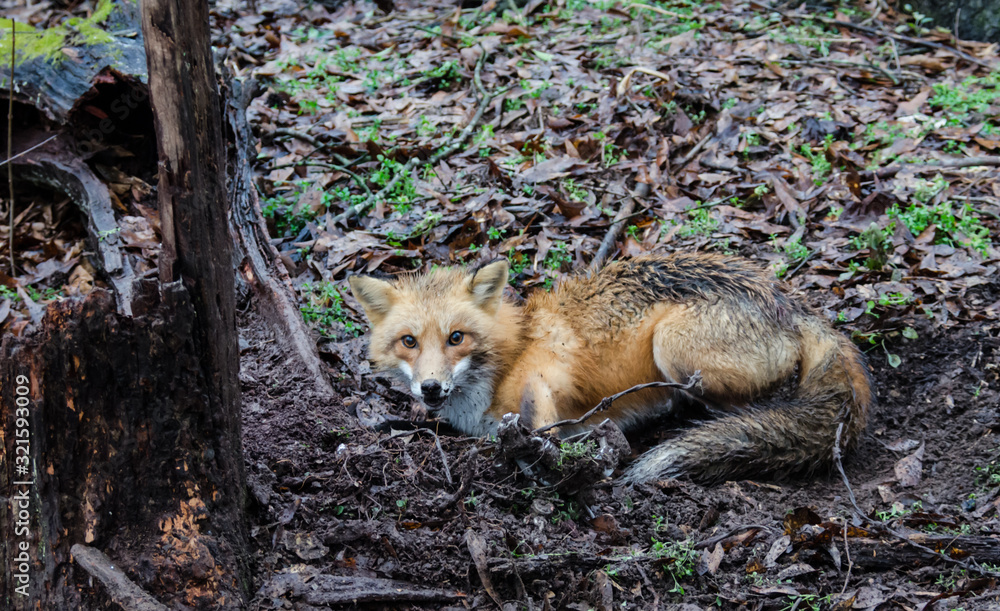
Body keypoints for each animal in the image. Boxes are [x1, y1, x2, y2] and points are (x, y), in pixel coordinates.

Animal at [348, 252, 873, 483]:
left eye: (457, 338)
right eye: (409, 342)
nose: (431, 389)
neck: (511, 350)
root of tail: (791, 300)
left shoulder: (547, 376)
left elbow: (543, 426)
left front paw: (551, 463)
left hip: (672, 346)